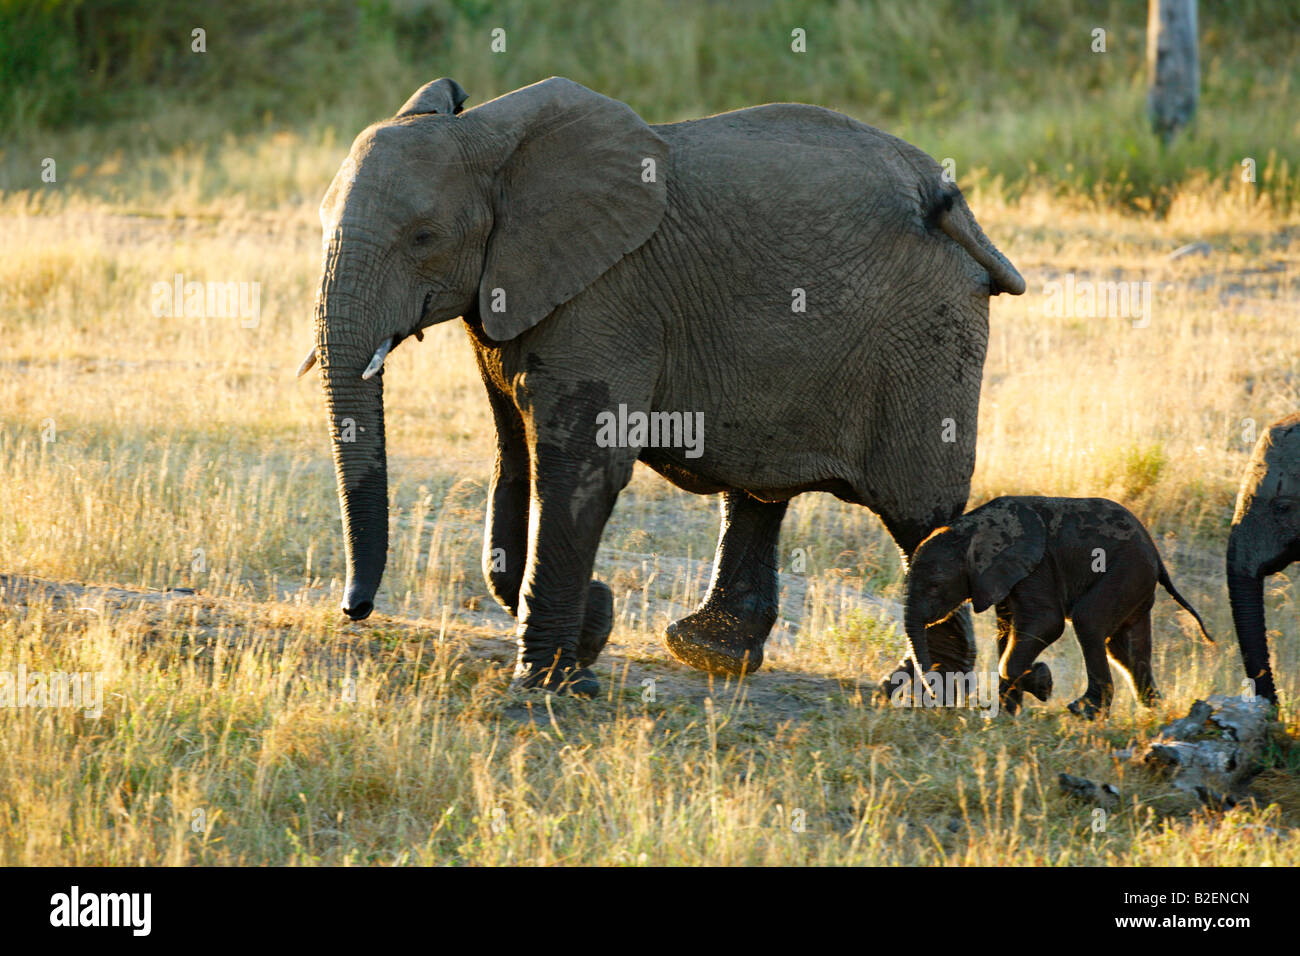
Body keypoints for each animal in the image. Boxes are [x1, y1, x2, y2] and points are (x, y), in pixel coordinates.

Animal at [298, 76, 1025, 697]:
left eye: (424, 237)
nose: (355, 607)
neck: (492, 135)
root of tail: (955, 205)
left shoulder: (607, 298)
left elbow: (577, 466)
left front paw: (552, 683)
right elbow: (514, 456)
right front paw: (591, 629)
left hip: (926, 338)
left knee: (917, 515)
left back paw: (925, 692)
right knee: (760, 488)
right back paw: (711, 655)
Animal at [902, 496, 1213, 717]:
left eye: (935, 585)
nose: (941, 700)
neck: (970, 526)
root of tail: (1157, 554)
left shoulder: (1037, 565)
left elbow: (1045, 624)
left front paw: (1041, 682)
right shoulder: (1001, 576)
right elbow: (1008, 632)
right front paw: (1006, 713)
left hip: (1127, 570)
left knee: (1089, 621)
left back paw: (1084, 711)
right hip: (1137, 582)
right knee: (1126, 648)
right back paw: (1155, 710)